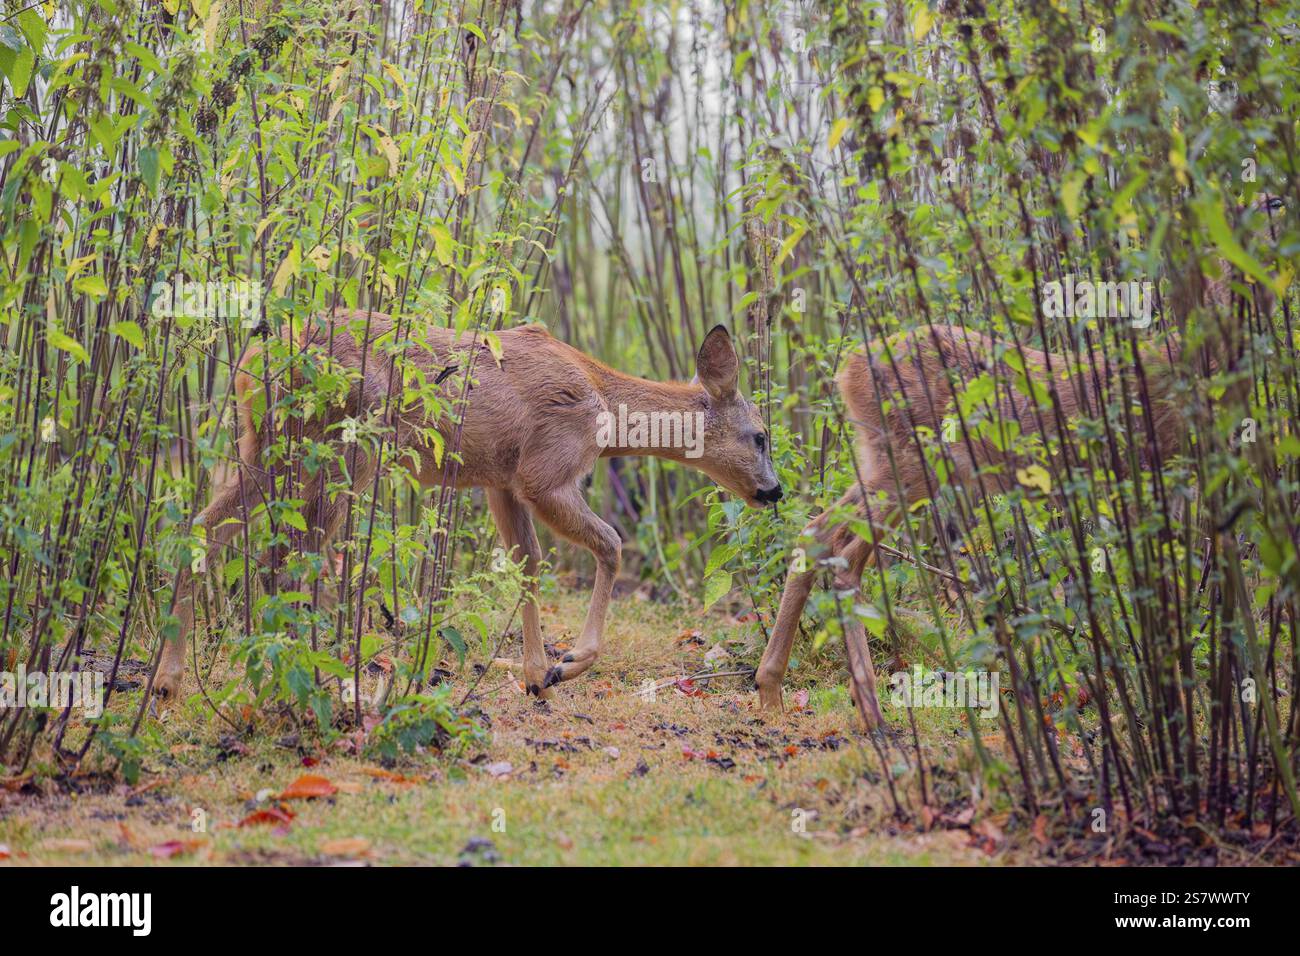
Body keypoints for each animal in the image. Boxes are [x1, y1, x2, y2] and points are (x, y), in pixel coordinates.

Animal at [155, 314, 781, 701]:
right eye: (760, 435)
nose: (775, 491)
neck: (604, 406)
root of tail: (258, 353)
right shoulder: (544, 471)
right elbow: (611, 543)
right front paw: (568, 663)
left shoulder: (500, 481)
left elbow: (527, 564)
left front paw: (536, 674)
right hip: (343, 446)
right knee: (294, 554)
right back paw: (304, 674)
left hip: (260, 445)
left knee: (206, 528)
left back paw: (171, 680)